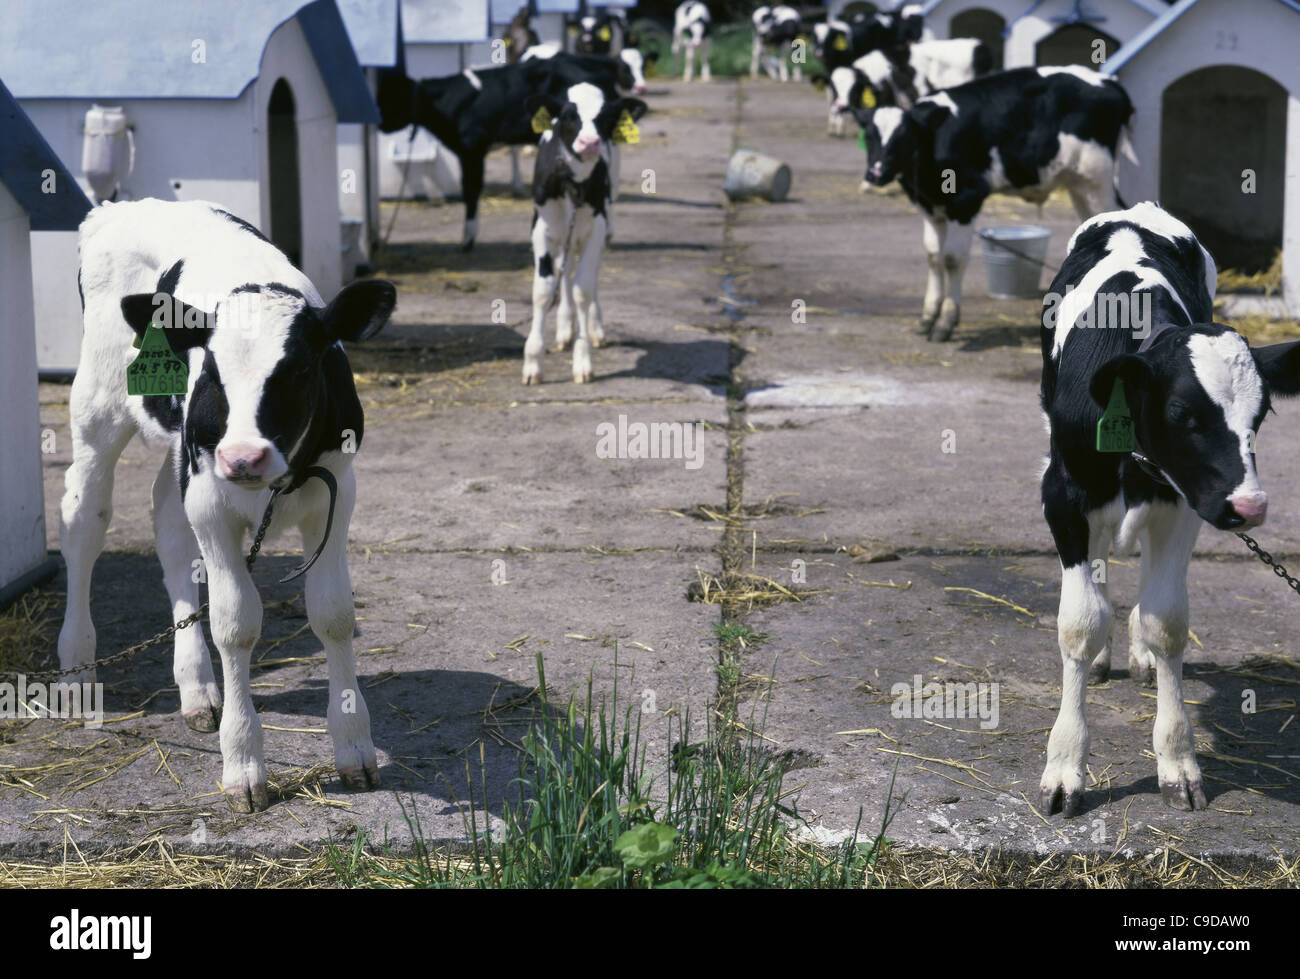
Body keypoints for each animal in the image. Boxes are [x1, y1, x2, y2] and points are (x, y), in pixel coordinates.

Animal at [61, 198, 397, 812]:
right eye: (212, 375)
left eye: (298, 370)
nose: (242, 457)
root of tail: (120, 208)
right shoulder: (213, 502)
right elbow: (235, 624)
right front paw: (243, 764)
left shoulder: (336, 491)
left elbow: (333, 614)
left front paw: (354, 749)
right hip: (99, 405)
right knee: (84, 520)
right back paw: (76, 668)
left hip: (184, 455)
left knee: (167, 524)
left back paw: (196, 688)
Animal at [523, 82, 647, 385]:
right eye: (569, 116)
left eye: (605, 118)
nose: (590, 143)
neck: (573, 181)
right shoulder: (540, 228)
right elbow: (543, 290)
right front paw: (533, 363)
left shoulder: (597, 227)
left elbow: (584, 288)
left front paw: (582, 361)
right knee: (564, 270)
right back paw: (564, 330)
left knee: (586, 275)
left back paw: (594, 327)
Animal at [857, 66, 1135, 341]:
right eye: (869, 136)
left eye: (903, 137)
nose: (876, 173)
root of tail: (1107, 81)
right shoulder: (930, 206)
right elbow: (933, 256)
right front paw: (928, 317)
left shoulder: (965, 200)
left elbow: (952, 258)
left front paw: (946, 321)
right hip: (1080, 185)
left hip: (1096, 180)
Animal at [1037, 201, 1300, 815]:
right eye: (1183, 414)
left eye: (1261, 417)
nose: (1250, 506)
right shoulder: (1062, 495)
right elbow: (1081, 624)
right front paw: (1065, 767)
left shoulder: (1180, 504)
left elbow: (1168, 623)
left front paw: (1178, 763)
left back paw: (1136, 653)